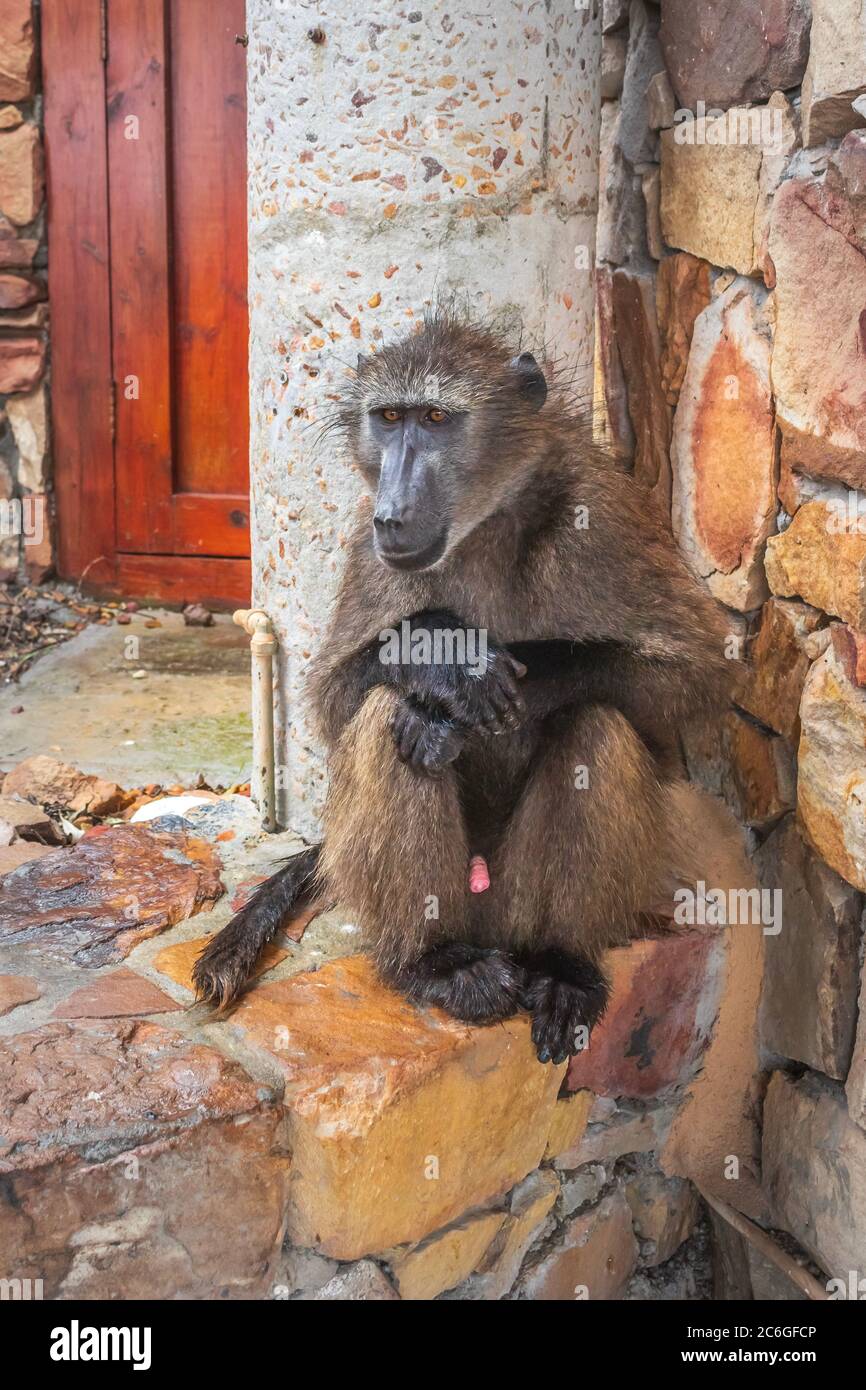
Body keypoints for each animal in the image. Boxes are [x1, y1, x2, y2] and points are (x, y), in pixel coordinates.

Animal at [193, 311, 733, 1064]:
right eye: (389, 418)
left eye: (438, 418)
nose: (393, 511)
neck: (489, 526)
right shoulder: (369, 550)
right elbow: (333, 700)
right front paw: (449, 657)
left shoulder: (604, 513)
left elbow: (695, 672)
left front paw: (481, 692)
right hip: (463, 905)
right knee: (385, 718)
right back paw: (436, 963)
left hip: (514, 903)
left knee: (595, 723)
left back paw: (561, 965)